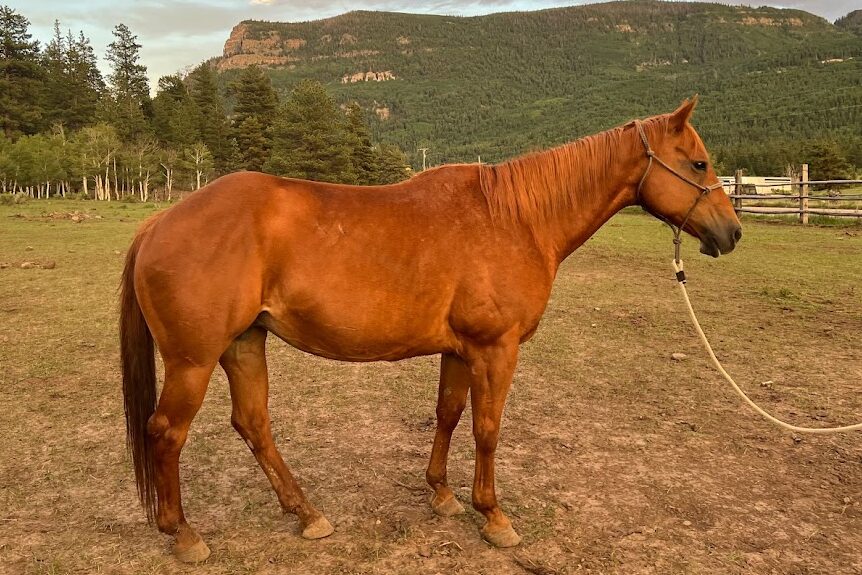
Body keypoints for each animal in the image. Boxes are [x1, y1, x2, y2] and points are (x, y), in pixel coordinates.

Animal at [120, 97, 741, 562]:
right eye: (699, 164)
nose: (732, 233)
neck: (515, 219)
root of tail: (160, 221)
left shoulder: (461, 351)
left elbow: (448, 414)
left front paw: (441, 494)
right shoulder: (496, 350)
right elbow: (487, 429)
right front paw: (493, 516)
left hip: (244, 345)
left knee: (253, 425)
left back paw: (307, 514)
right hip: (194, 362)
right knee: (166, 432)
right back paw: (184, 534)